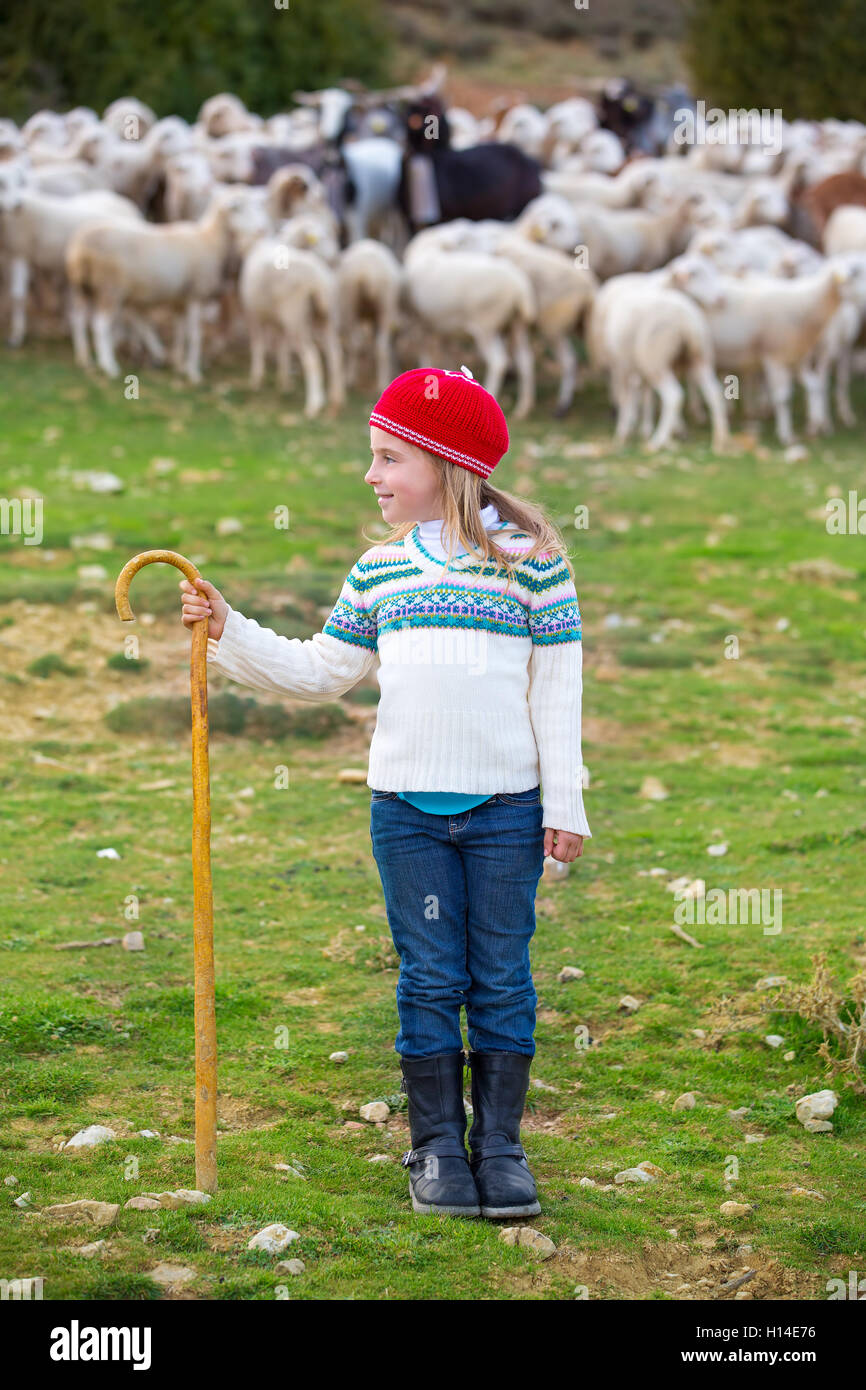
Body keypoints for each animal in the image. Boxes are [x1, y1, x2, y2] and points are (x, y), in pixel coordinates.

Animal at [238, 236, 344, 417]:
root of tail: (319, 283)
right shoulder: (280, 323)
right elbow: (282, 347)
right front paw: (284, 381)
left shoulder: (253, 316)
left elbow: (258, 345)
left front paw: (256, 379)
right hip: (325, 318)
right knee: (335, 354)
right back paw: (335, 402)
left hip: (296, 318)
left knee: (312, 358)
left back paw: (314, 405)